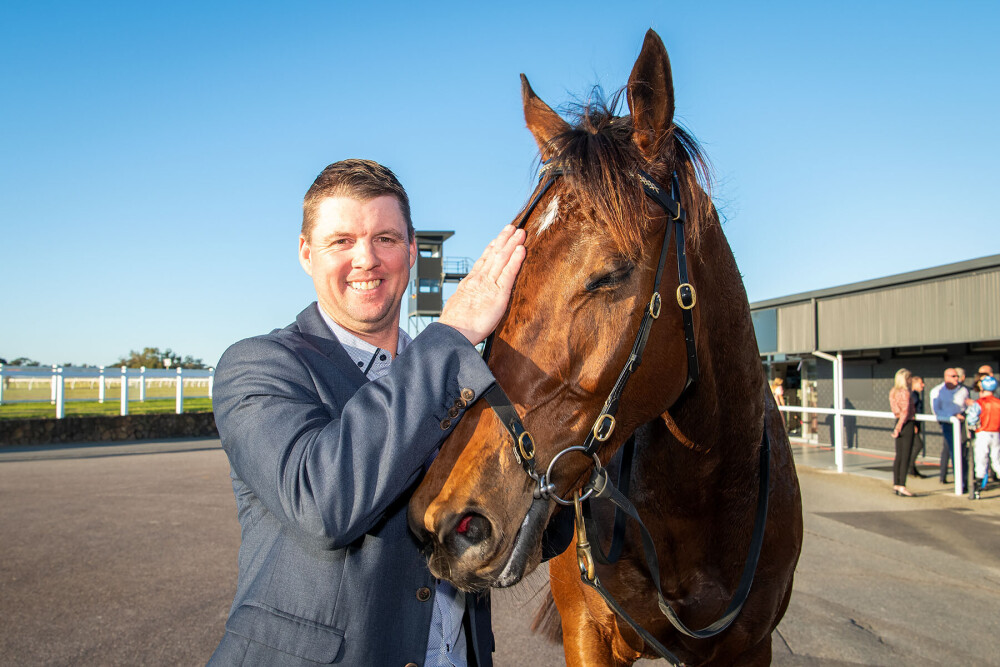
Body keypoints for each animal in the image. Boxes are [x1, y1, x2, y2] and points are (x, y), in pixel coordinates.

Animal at [408, 29, 802, 666]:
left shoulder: (751, 648)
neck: (705, 501)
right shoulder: (588, 632)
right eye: (508, 273)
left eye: (611, 274)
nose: (447, 521)